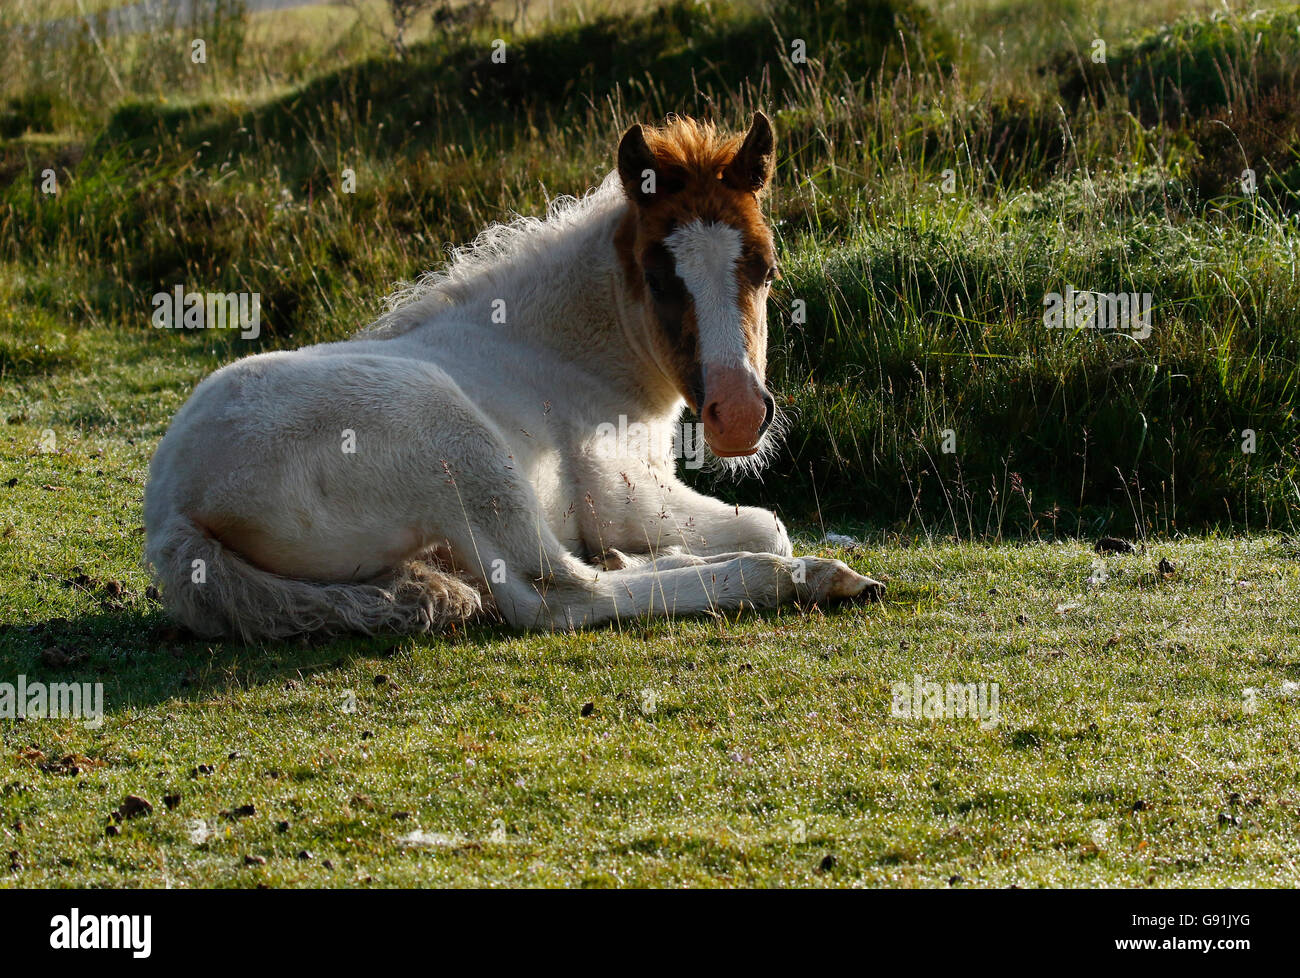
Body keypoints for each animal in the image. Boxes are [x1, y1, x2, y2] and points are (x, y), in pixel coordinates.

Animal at [143, 113, 885, 641]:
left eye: (766, 268)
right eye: (657, 276)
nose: (737, 415)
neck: (559, 354)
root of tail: (175, 513)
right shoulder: (625, 495)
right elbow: (768, 524)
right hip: (454, 439)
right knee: (559, 594)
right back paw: (807, 578)